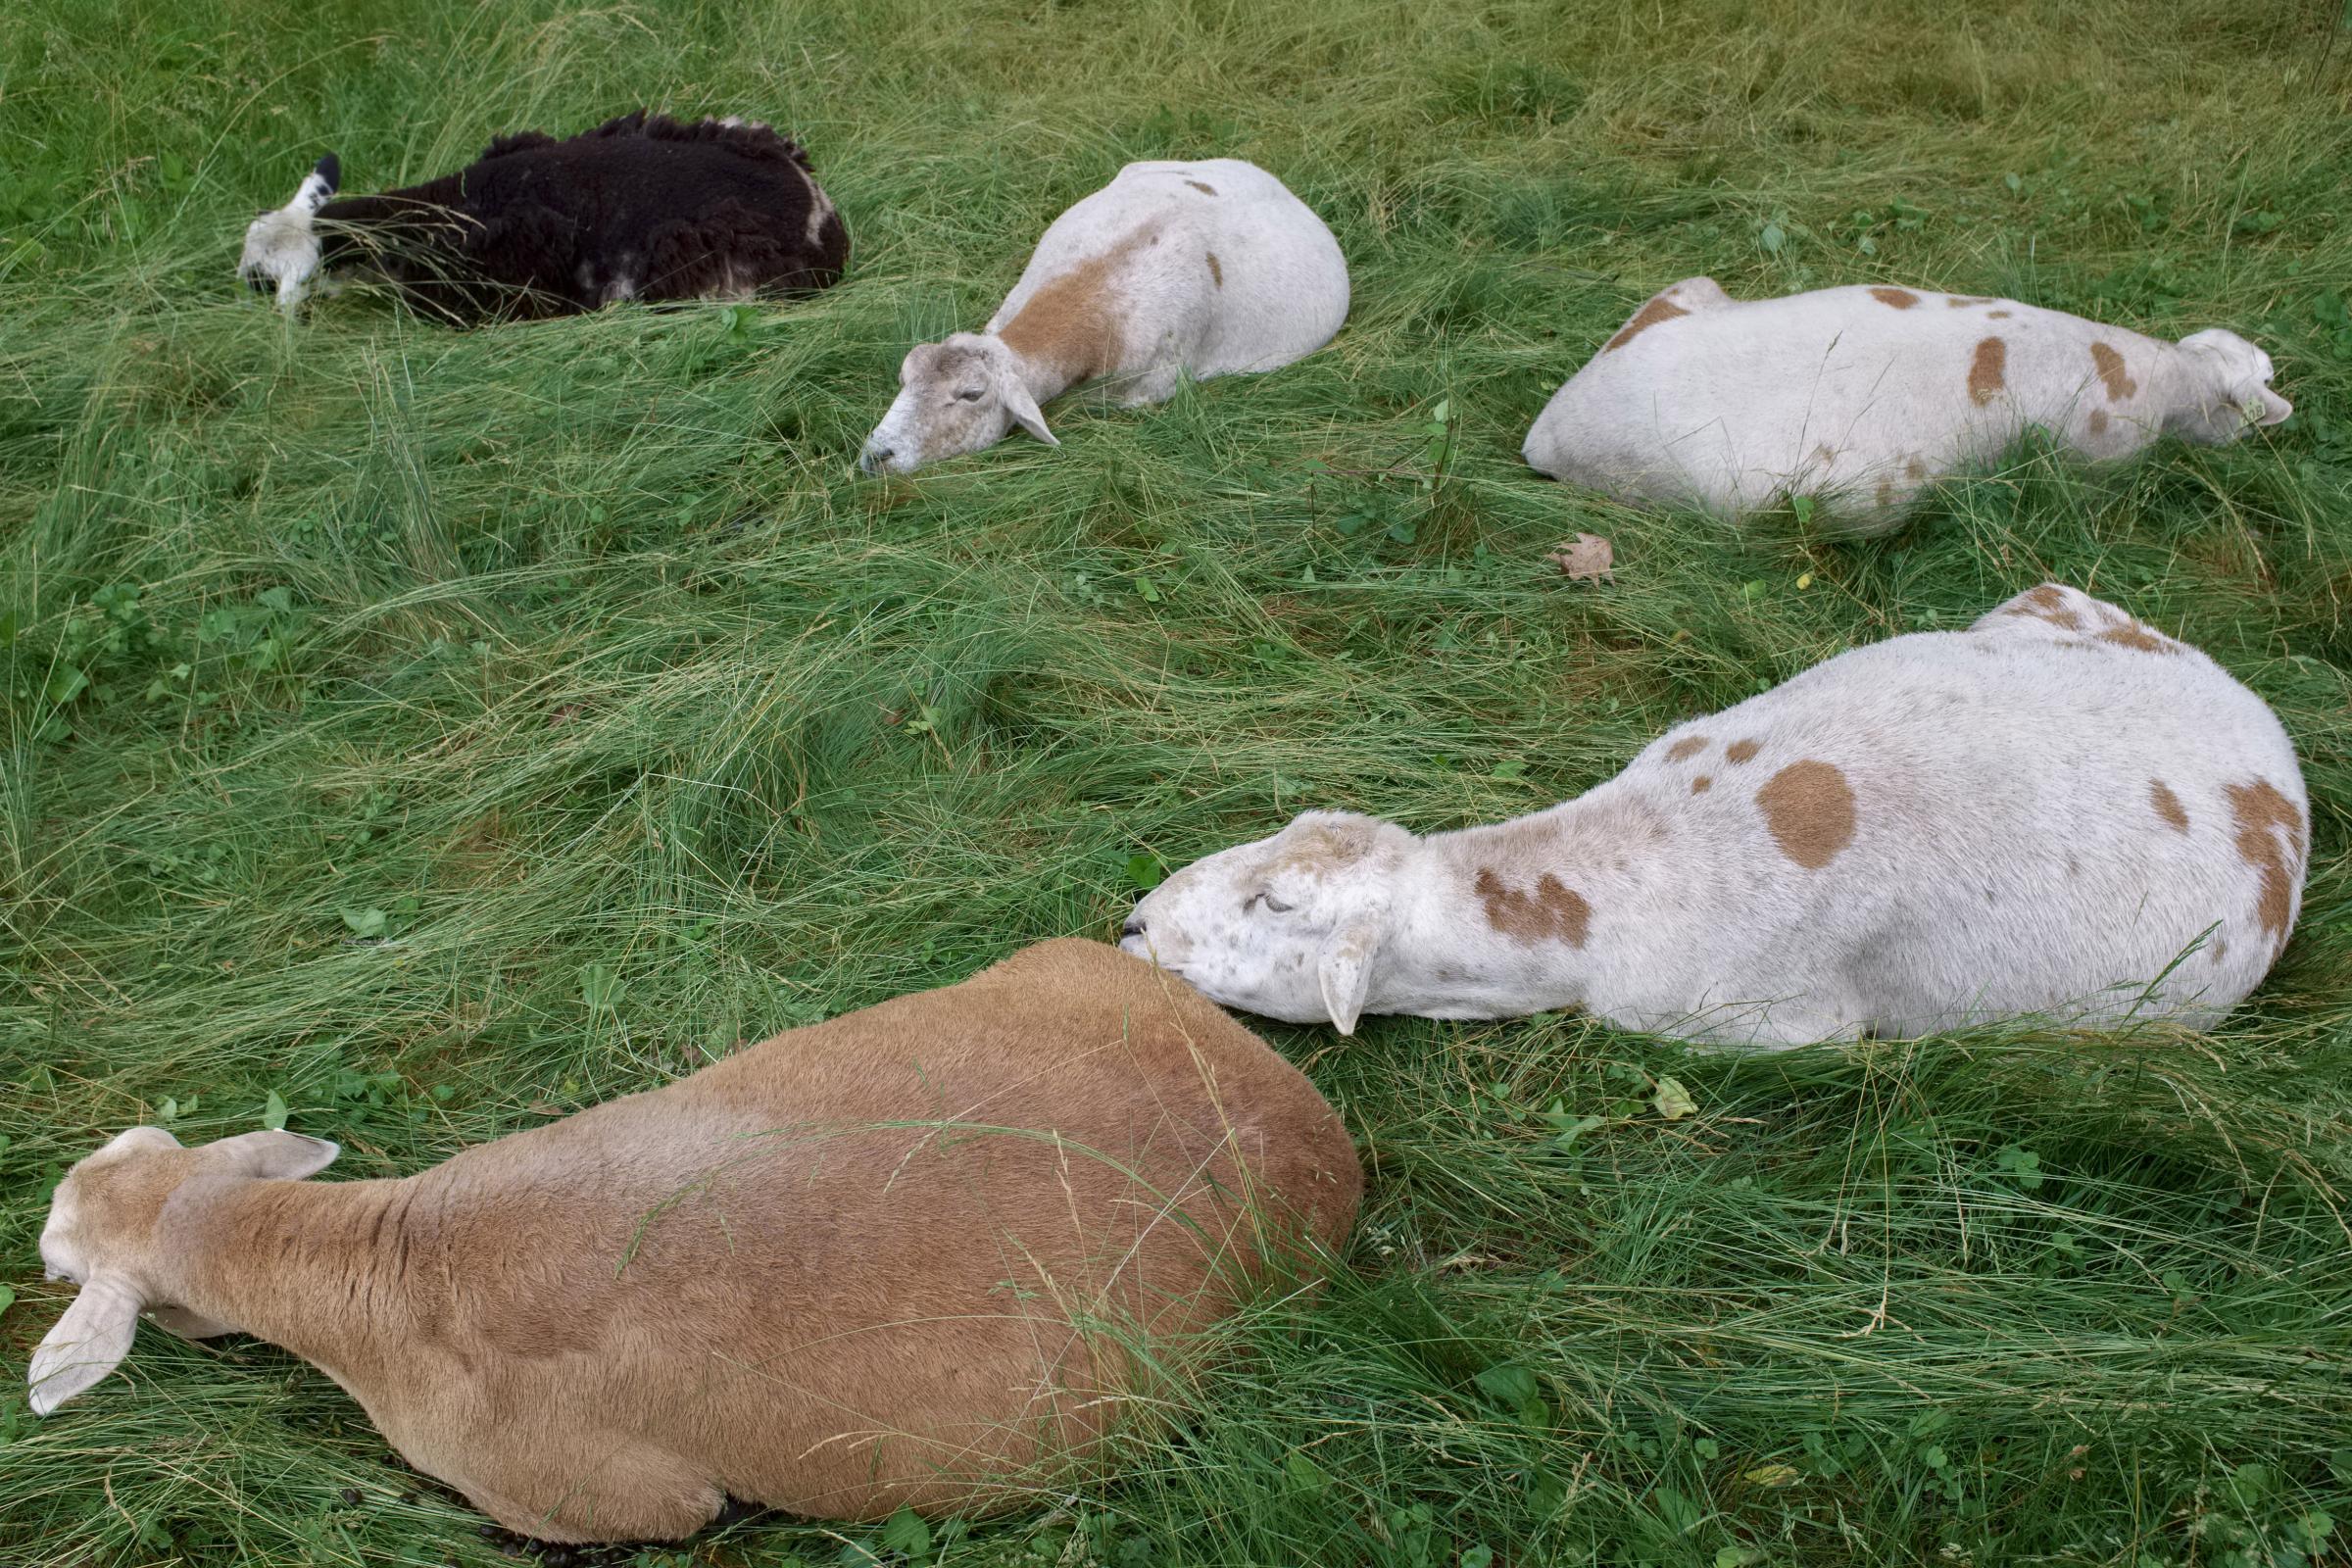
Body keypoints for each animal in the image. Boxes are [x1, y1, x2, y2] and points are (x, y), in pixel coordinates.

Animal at [858, 159, 1348, 474]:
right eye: (904, 378)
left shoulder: (1153, 385)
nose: (875, 457)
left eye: (972, 394)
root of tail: (1283, 189)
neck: (1094, 298)